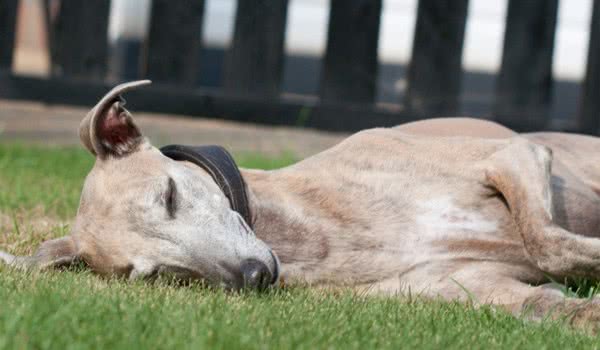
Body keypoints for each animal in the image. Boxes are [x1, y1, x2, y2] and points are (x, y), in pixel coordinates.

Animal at [3, 80, 600, 330]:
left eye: (169, 195)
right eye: (153, 276)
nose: (252, 276)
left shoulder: (516, 155)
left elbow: (550, 244)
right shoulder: (468, 285)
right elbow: (545, 298)